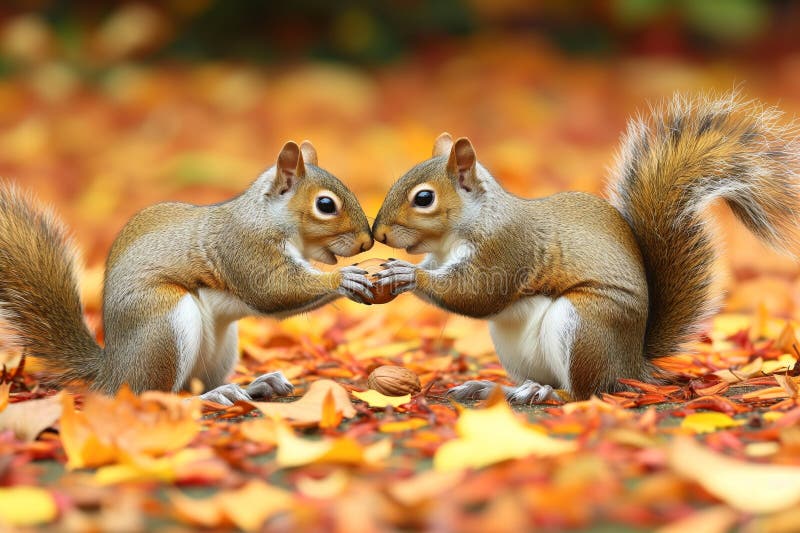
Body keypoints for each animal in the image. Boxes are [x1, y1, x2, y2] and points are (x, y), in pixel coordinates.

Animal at [0, 140, 375, 405]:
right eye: (325, 205)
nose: (367, 242)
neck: (267, 216)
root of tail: (113, 371)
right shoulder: (243, 247)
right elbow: (272, 290)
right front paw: (345, 278)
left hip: (221, 347)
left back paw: (253, 386)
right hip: (164, 322)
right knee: (155, 396)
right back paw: (210, 397)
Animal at [372, 93, 800, 403]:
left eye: (424, 198)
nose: (379, 234)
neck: (458, 234)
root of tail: (630, 366)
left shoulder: (508, 249)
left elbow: (475, 294)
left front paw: (407, 274)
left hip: (584, 326)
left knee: (583, 393)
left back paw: (546, 393)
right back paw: (497, 388)